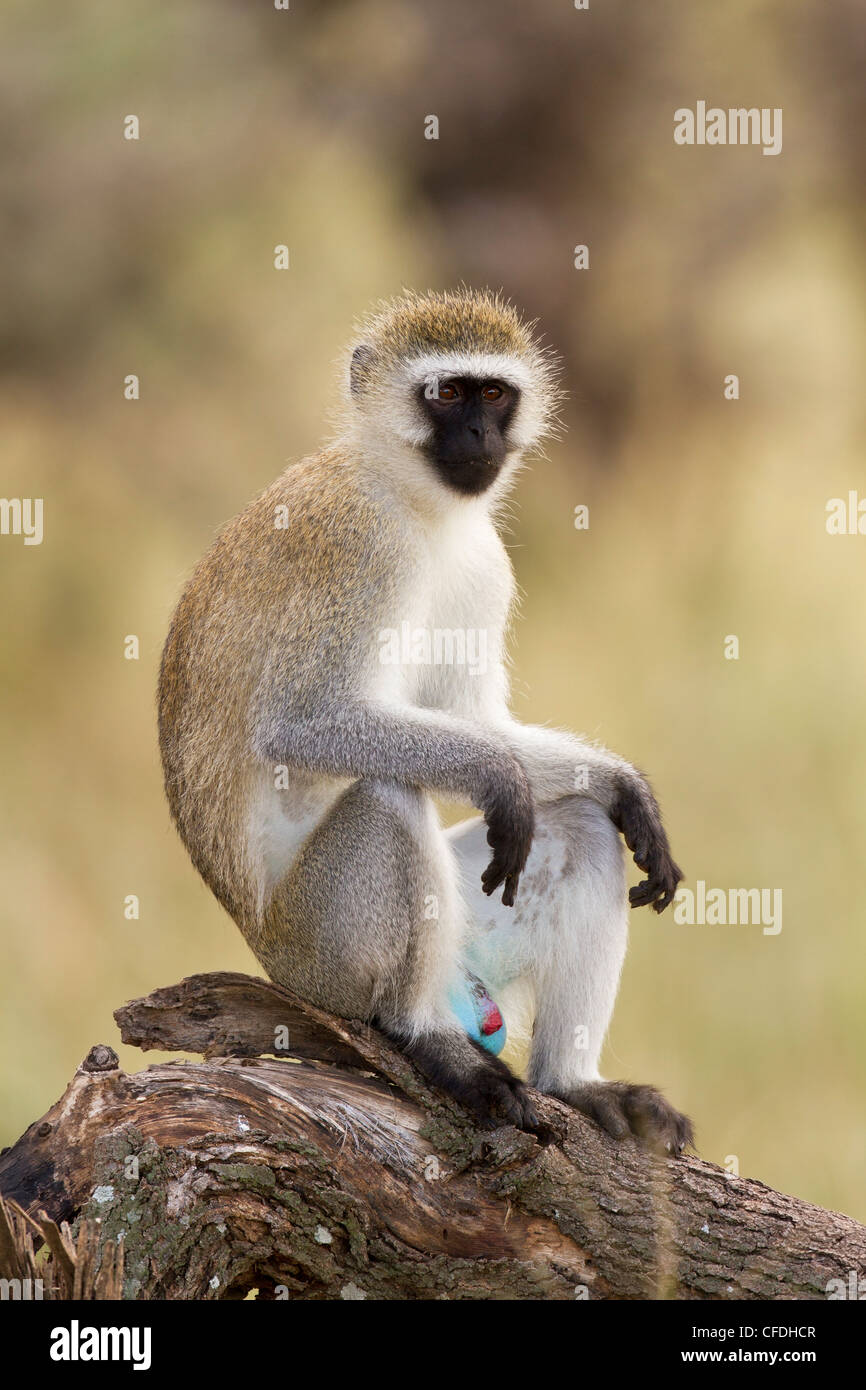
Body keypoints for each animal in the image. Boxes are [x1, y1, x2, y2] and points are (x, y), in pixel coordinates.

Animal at [158, 287, 692, 1151]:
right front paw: (494, 775)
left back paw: (572, 1085)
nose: (478, 437)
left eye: (494, 394)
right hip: (320, 957)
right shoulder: (356, 546)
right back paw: (428, 1040)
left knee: (579, 825)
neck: (416, 502)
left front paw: (628, 789)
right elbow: (300, 723)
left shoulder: (485, 561)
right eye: (444, 394)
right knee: (386, 796)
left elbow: (478, 717)